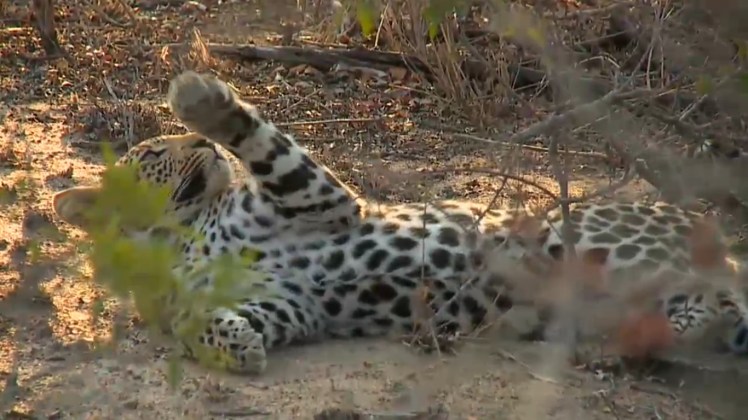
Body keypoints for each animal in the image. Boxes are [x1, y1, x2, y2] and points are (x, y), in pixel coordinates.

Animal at [52, 71, 748, 374]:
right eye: (150, 155)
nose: (200, 148)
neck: (181, 239)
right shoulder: (289, 304)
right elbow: (198, 324)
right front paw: (237, 346)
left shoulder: (319, 200)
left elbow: (260, 140)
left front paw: (201, 102)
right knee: (709, 312)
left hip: (581, 237)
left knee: (723, 294)